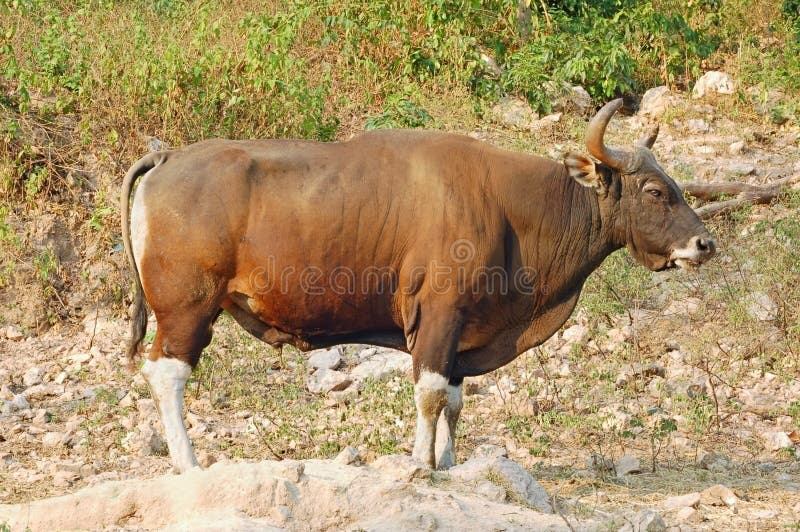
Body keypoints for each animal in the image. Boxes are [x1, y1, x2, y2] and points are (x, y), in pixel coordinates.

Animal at [120, 99, 715, 474]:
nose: (705, 244)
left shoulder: (466, 329)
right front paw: (421, 463)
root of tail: (168, 156)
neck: (510, 210)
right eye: (655, 191)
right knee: (166, 374)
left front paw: (446, 462)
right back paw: (187, 462)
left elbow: (453, 398)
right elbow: (429, 394)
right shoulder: (438, 316)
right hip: (187, 308)